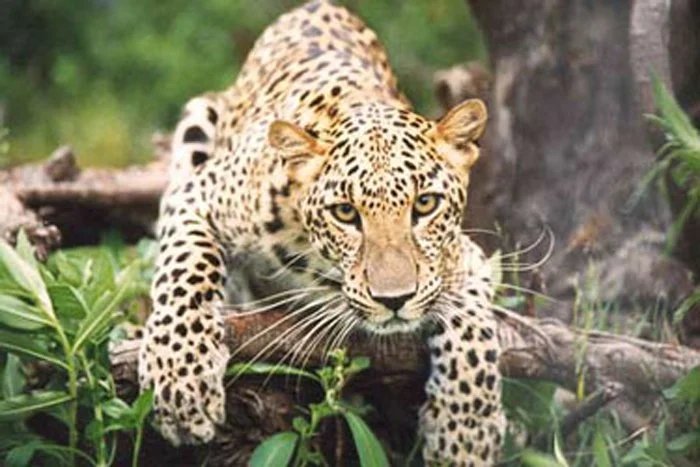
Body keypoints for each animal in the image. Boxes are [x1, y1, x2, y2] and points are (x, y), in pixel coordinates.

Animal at [138, 0, 505, 465]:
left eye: (425, 204)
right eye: (345, 213)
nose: (395, 300)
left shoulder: (463, 255)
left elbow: (473, 322)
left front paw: (466, 432)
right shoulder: (196, 195)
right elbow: (185, 267)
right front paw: (180, 382)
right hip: (199, 118)